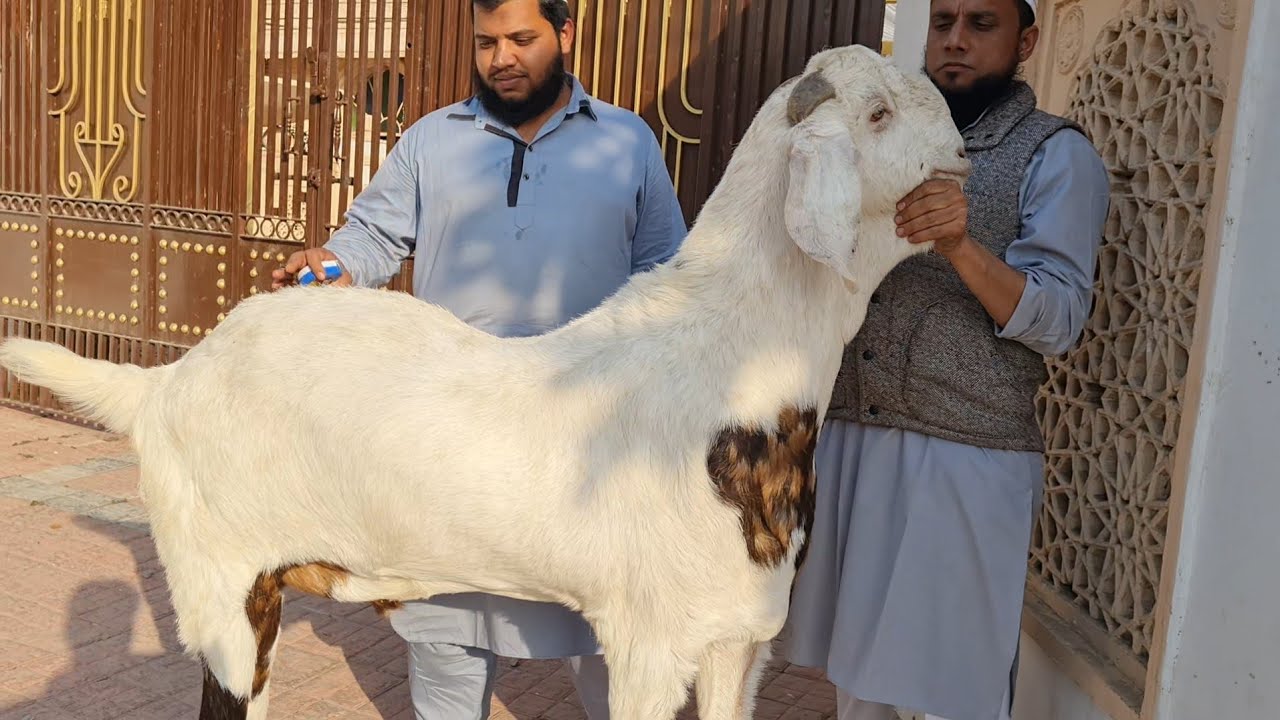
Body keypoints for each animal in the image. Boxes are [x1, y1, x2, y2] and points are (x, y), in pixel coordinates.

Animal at [0, 45, 969, 720]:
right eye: (878, 113)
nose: (964, 149)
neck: (724, 362)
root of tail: (169, 380)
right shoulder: (650, 638)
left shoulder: (740, 634)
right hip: (222, 577)